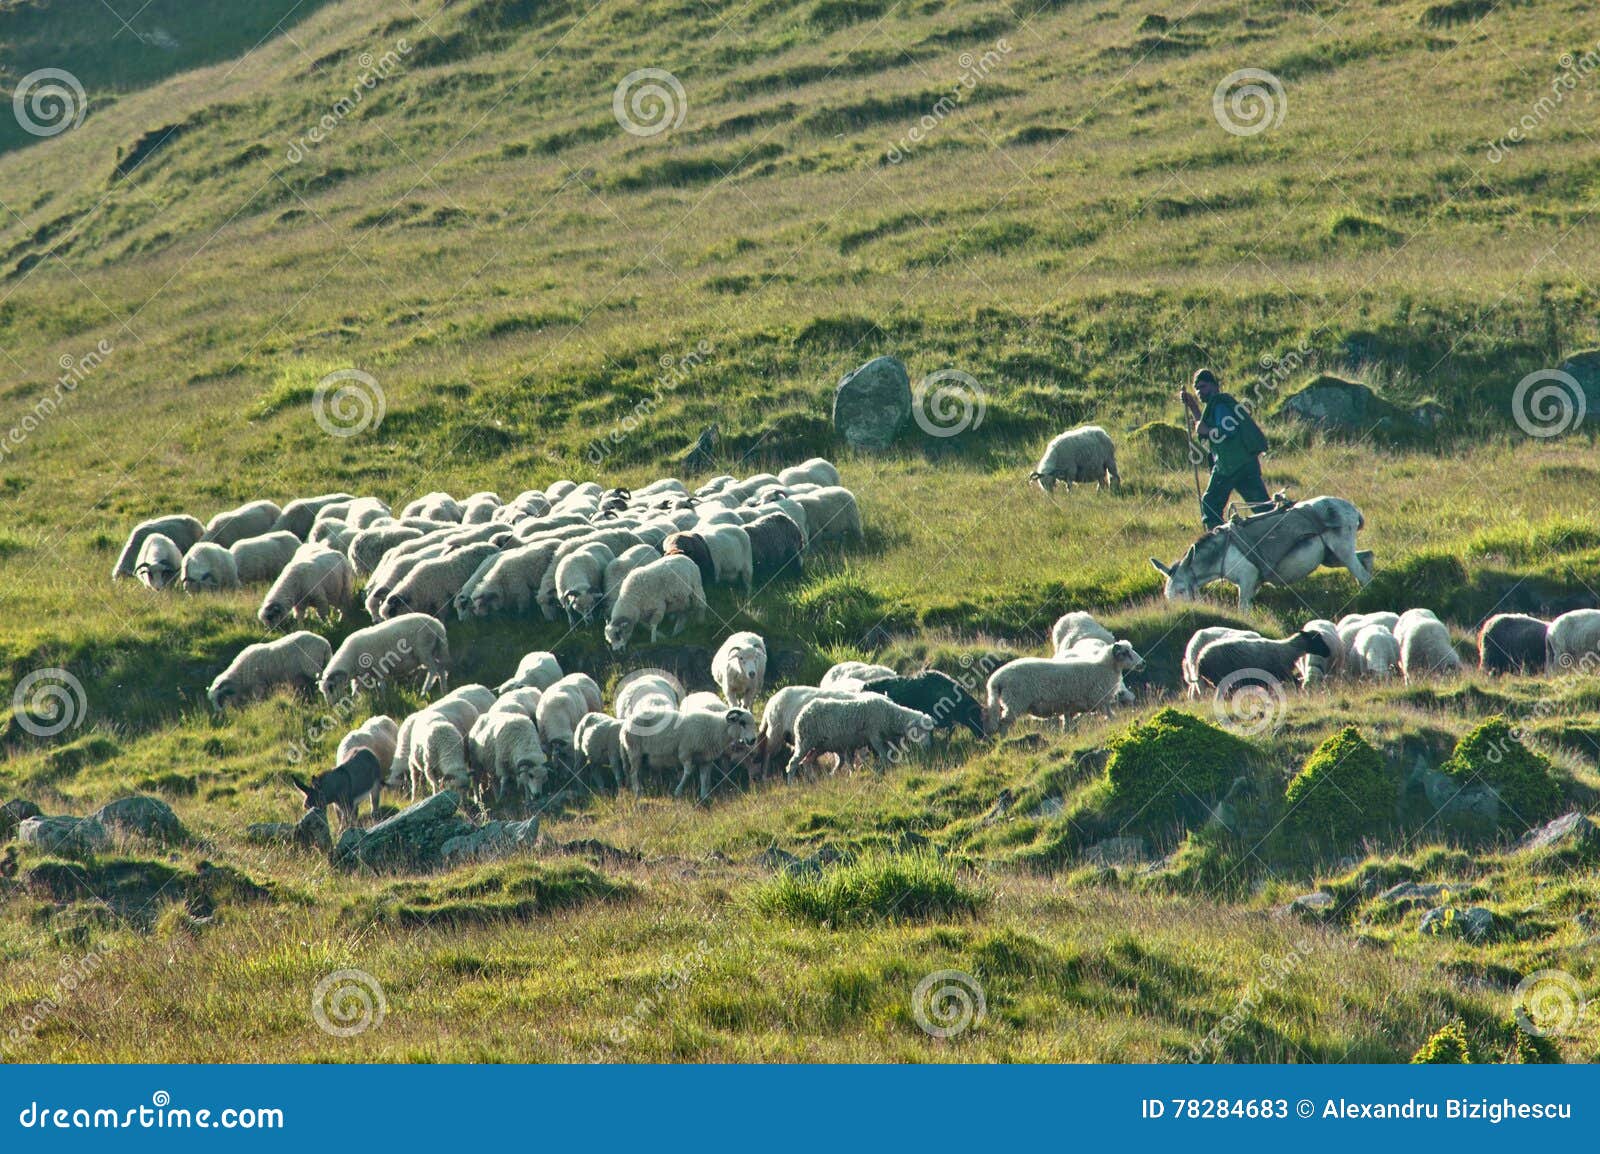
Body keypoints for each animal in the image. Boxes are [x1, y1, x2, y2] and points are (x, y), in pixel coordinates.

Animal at [319, 613, 450, 701]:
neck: (351, 659)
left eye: (331, 687)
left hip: (424, 651)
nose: (331, 706)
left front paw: (383, 699)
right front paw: (359, 703)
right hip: (436, 650)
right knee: (441, 670)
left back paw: (424, 691)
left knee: (433, 670)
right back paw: (444, 691)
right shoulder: (362, 675)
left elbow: (381, 684)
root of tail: (438, 626)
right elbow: (357, 690)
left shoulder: (379, 666)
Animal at [786, 695, 932, 780]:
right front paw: (886, 768)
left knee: (807, 762)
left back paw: (813, 780)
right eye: (922, 729)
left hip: (819, 746)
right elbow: (883, 754)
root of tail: (803, 711)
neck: (889, 715)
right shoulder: (875, 736)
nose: (929, 746)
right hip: (805, 741)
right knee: (793, 763)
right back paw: (791, 784)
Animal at [986, 641, 1145, 732]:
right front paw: (1114, 723)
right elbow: (1110, 716)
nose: (1143, 663)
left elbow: (1067, 725)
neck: (1104, 668)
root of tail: (995, 680)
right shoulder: (1100, 700)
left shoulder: (1068, 708)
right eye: (1125, 653)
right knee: (1003, 723)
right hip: (1015, 702)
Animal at [1195, 628, 1332, 695]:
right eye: (1316, 639)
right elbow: (1295, 683)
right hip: (1219, 676)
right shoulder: (1280, 673)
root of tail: (1201, 658)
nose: (1328, 652)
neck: (1289, 650)